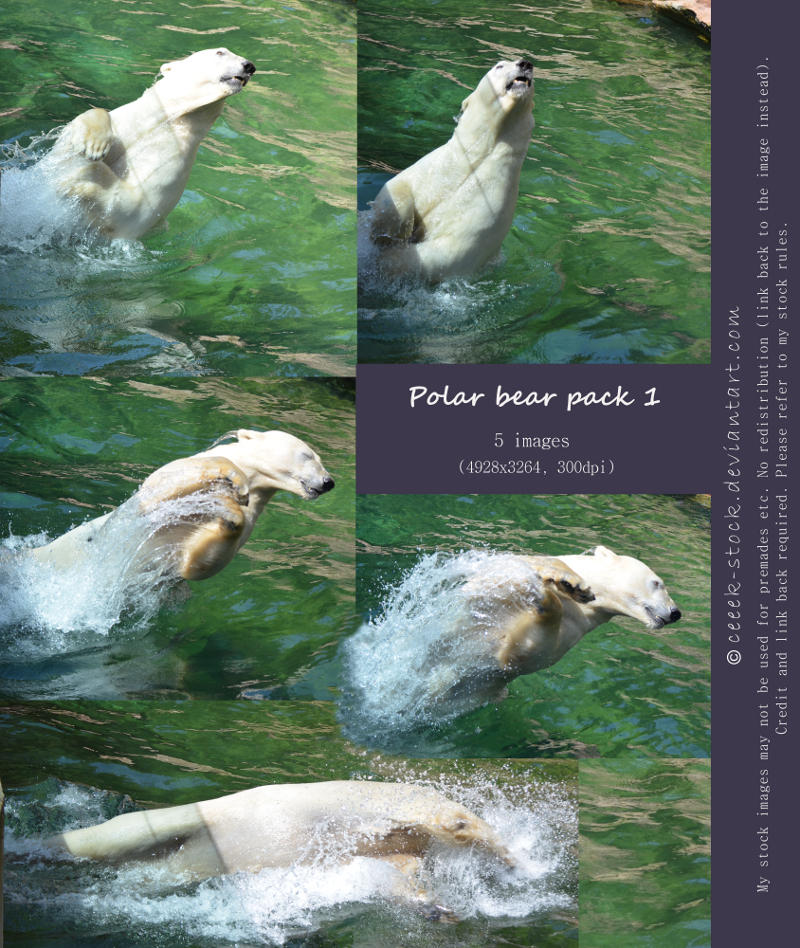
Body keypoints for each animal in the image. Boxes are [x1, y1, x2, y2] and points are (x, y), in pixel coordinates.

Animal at [27, 429, 334, 582]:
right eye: (308, 455)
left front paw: (228, 514)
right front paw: (233, 483)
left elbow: (198, 563)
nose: (329, 482)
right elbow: (157, 489)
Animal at [40, 48, 255, 240]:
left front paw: (78, 177)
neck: (167, 120)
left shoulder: (173, 163)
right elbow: (67, 145)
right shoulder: (128, 123)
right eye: (220, 52)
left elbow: (134, 206)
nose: (250, 66)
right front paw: (93, 145)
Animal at [367, 58, 534, 283]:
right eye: (499, 66)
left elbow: (447, 252)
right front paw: (391, 233)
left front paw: (389, 262)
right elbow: (399, 186)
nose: (525, 63)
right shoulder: (438, 166)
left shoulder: (492, 204)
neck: (478, 158)